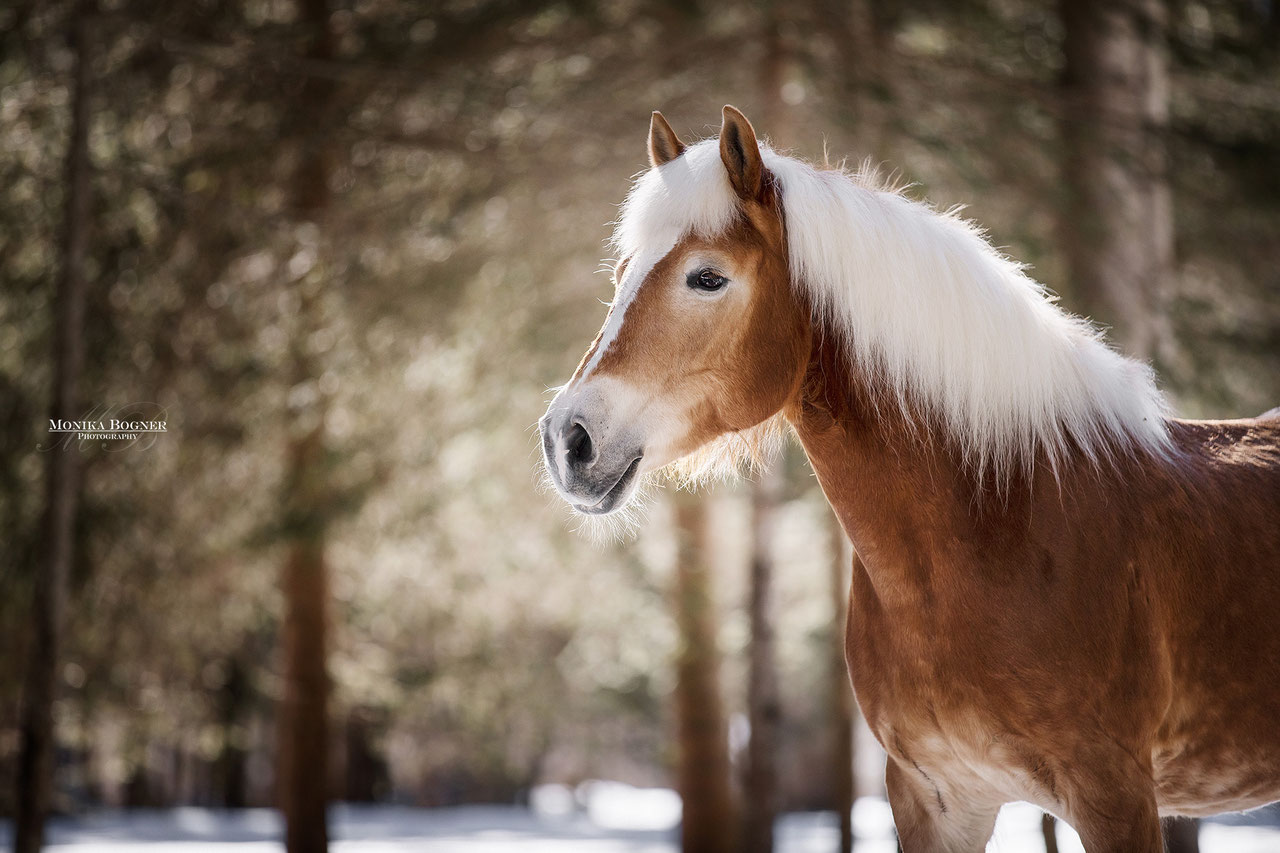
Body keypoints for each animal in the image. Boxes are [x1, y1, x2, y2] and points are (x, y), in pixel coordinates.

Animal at [538, 105, 1280, 851]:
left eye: (707, 278)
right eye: (623, 272)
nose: (567, 438)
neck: (1007, 528)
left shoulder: (1116, 796)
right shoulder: (934, 797)